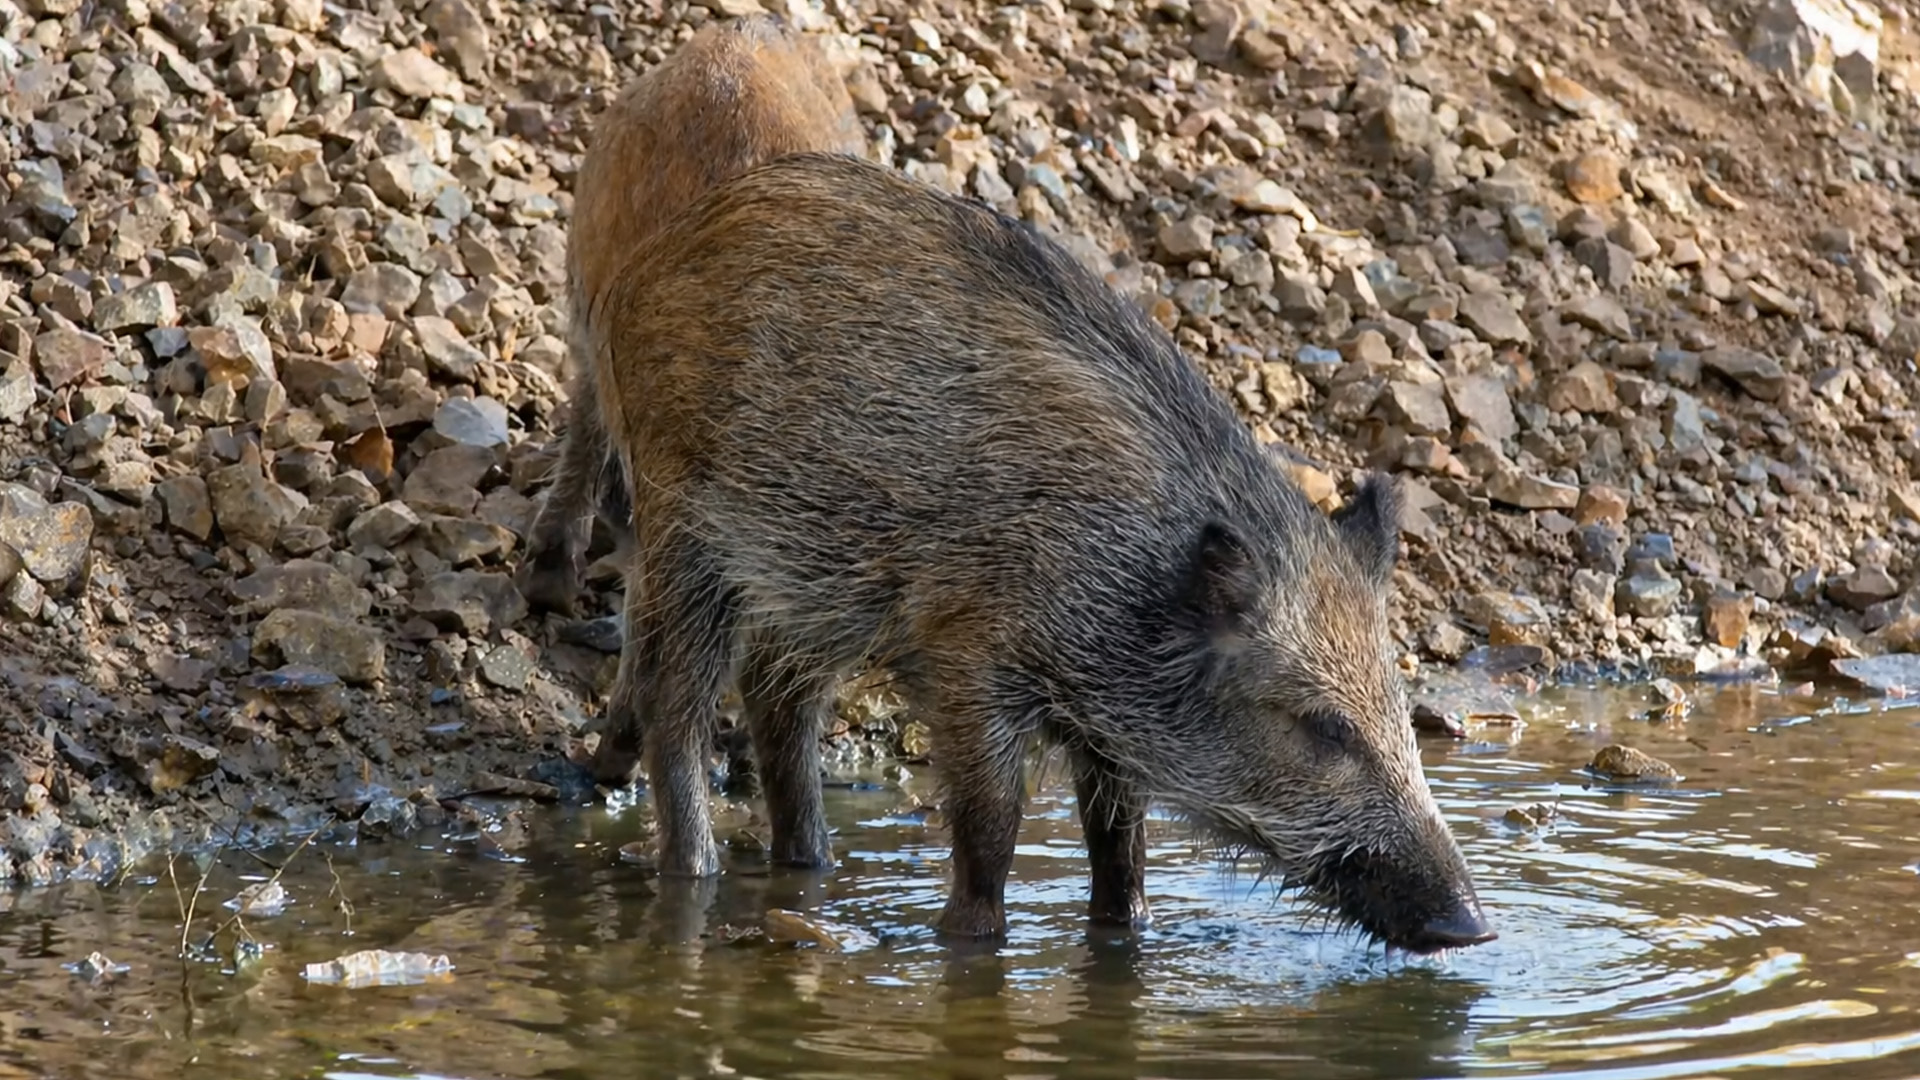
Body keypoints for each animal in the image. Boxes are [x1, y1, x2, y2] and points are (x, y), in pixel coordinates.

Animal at [578, 148, 1496, 955]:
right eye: (1321, 726)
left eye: (1401, 711)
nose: (1474, 928)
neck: (1126, 579)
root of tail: (648, 264)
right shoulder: (970, 654)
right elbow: (992, 829)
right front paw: (972, 941)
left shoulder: (1106, 727)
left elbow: (1120, 846)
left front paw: (1127, 934)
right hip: (684, 521)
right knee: (677, 701)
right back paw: (694, 874)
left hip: (807, 581)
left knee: (778, 700)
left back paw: (811, 869)